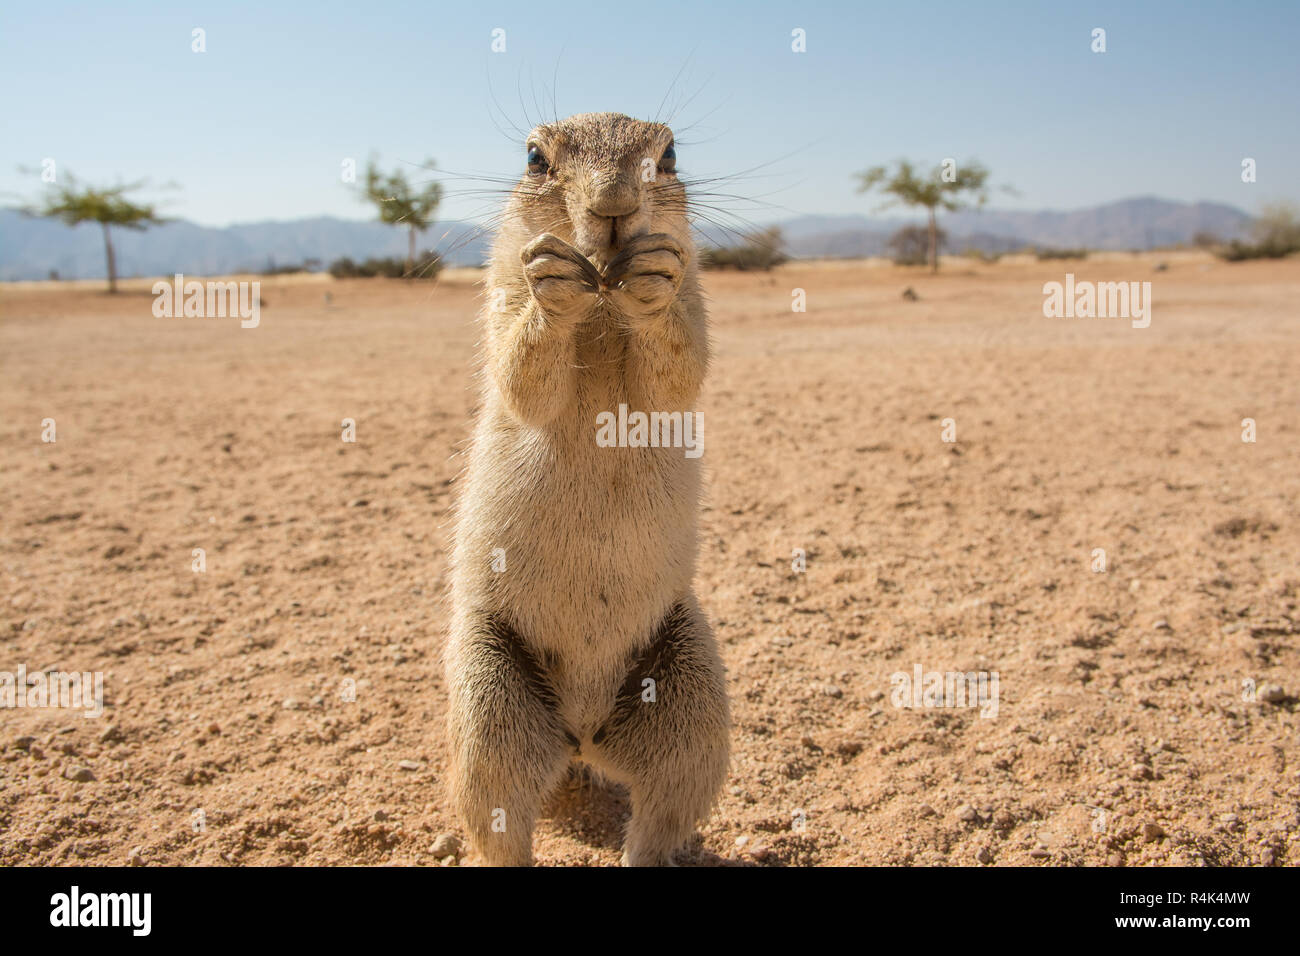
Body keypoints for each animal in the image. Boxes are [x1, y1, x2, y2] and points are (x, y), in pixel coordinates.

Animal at [445, 112, 729, 865]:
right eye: (534, 157)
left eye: (670, 155)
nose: (613, 205)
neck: (603, 303)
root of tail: (582, 733)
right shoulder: (500, 285)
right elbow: (523, 374)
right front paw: (553, 286)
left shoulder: (696, 289)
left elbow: (678, 369)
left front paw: (652, 278)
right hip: (490, 703)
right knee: (500, 819)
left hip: (692, 703)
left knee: (661, 815)